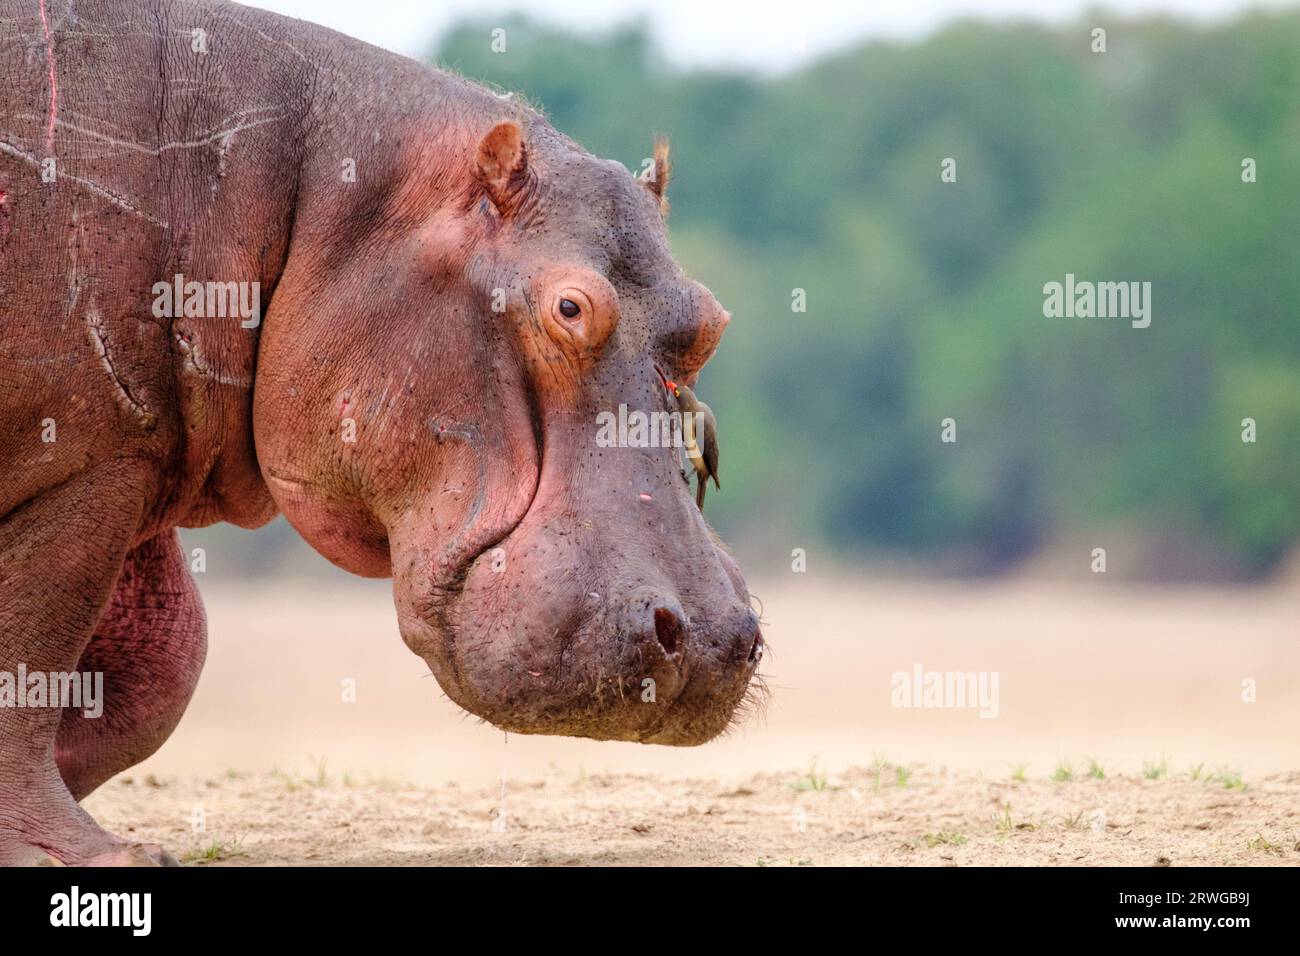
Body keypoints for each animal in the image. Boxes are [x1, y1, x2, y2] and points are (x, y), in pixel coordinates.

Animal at [0, 0, 762, 866]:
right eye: (570, 308)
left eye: (711, 319)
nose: (707, 639)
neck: (319, 190)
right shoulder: (86, 463)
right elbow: (34, 650)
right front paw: (91, 853)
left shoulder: (141, 446)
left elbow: (163, 669)